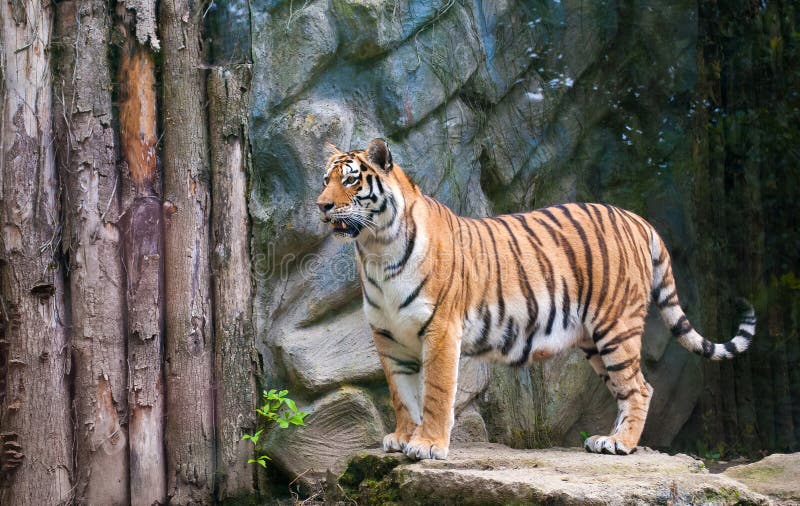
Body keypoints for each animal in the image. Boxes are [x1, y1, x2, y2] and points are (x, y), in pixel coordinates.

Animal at [315, 138, 756, 460]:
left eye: (351, 180)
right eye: (324, 180)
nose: (321, 205)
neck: (376, 250)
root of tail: (636, 218)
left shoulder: (440, 330)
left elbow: (437, 392)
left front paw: (427, 445)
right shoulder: (388, 337)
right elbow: (402, 395)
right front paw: (402, 437)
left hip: (615, 327)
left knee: (640, 388)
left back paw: (622, 444)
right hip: (594, 340)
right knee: (625, 387)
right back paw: (605, 439)